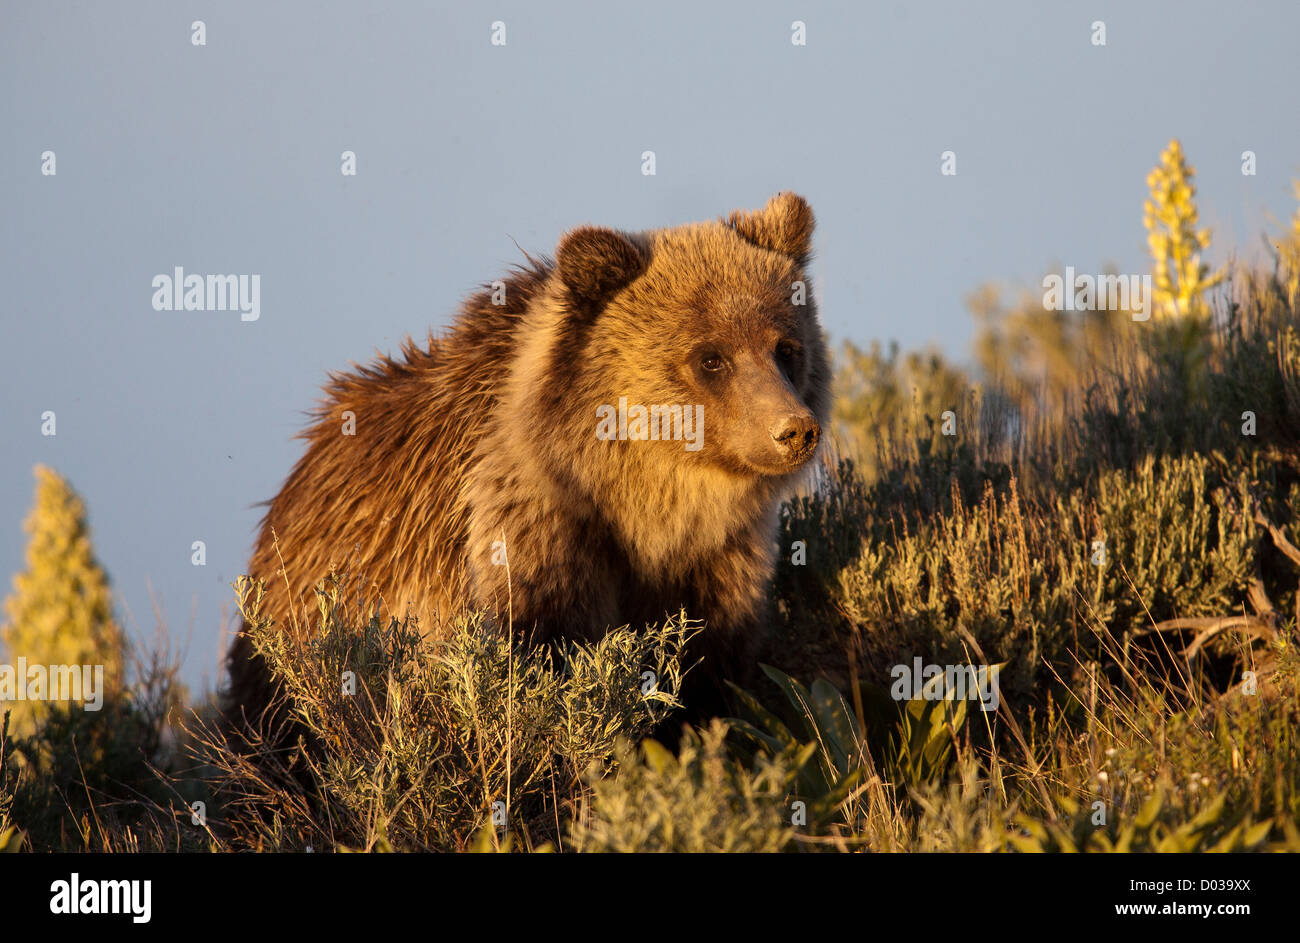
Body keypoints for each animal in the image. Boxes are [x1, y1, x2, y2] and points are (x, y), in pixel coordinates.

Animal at [224, 191, 830, 741]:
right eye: (711, 357)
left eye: (786, 347)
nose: (794, 430)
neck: (645, 510)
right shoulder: (528, 540)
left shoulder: (720, 561)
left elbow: (710, 672)